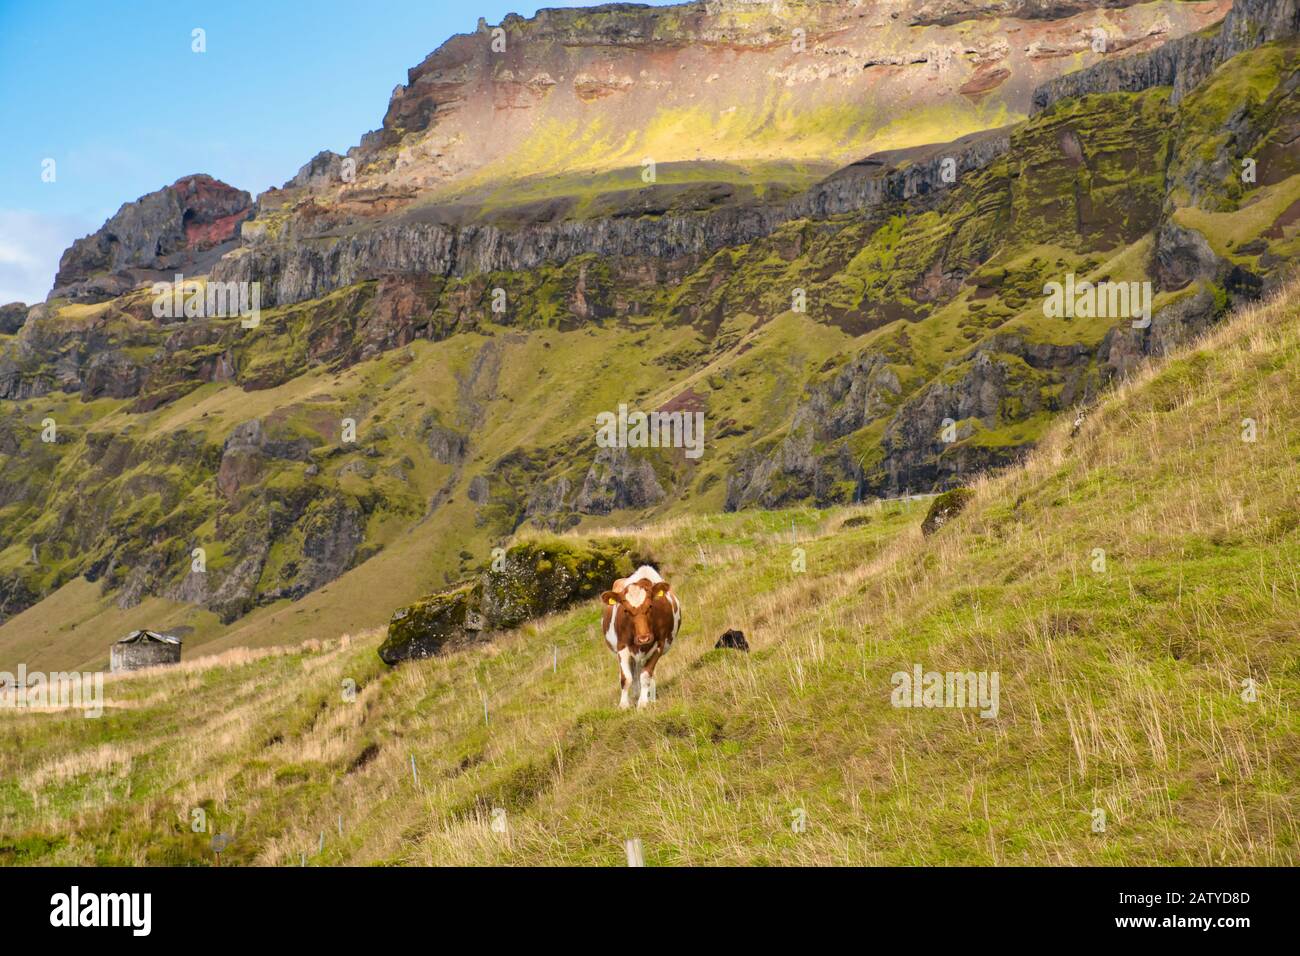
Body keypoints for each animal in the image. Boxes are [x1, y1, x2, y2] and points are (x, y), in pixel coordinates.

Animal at [600, 565, 681, 709]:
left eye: (650, 606)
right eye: (626, 610)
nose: (644, 638)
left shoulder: (659, 645)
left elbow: (646, 675)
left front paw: (643, 702)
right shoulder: (622, 647)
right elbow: (626, 678)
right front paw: (623, 704)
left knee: (641, 672)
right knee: (634, 673)